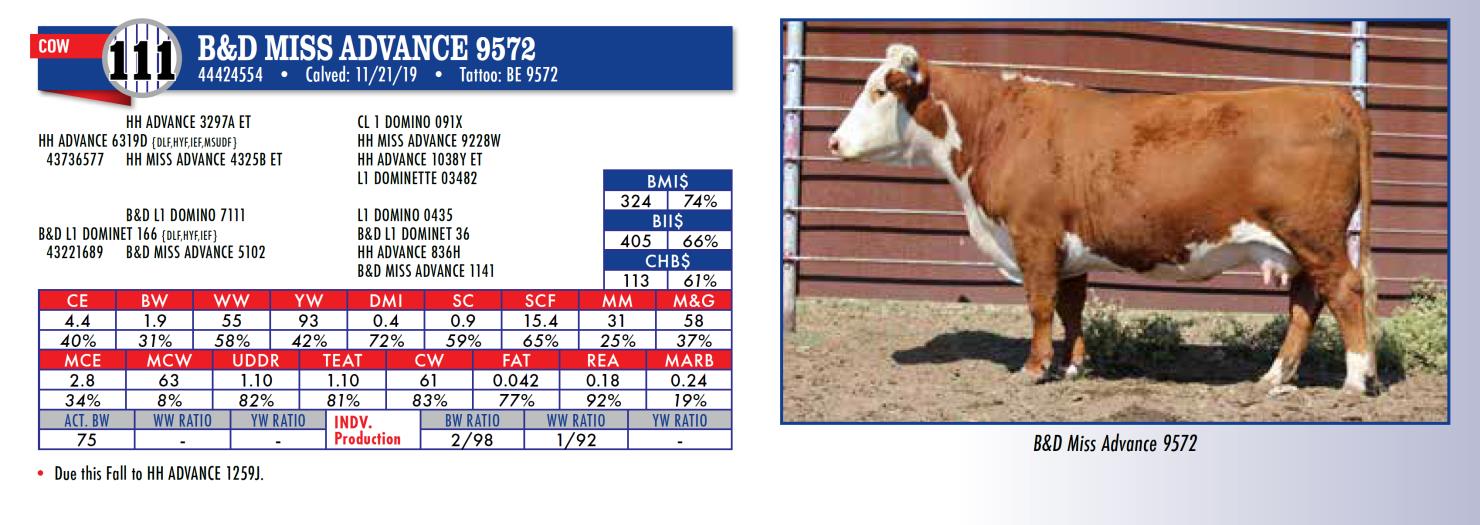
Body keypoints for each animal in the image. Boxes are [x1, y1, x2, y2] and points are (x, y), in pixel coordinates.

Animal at [827, 44, 1379, 394]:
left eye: (880, 91)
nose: (833, 142)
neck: (995, 128)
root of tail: (1333, 96)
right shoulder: (1068, 248)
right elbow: (1071, 308)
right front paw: (1073, 366)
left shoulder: (1033, 235)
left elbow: (1040, 306)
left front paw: (1034, 368)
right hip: (1300, 243)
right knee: (1306, 302)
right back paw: (1275, 377)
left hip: (1315, 235)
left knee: (1344, 291)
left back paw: (1356, 379)